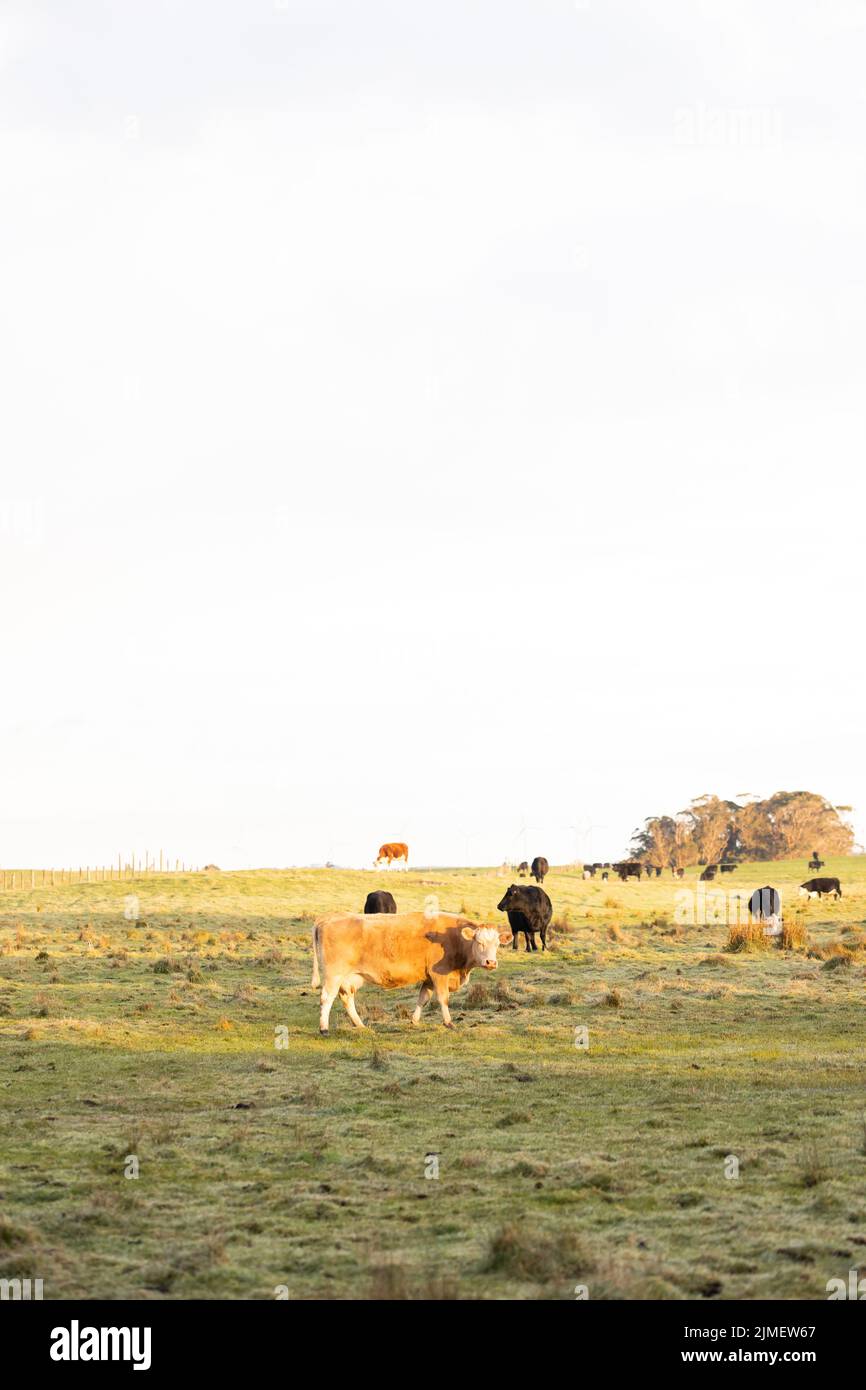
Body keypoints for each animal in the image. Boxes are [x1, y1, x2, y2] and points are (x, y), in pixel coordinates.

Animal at [311, 911, 511, 1034]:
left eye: (497, 944)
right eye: (479, 942)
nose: (491, 962)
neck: (455, 939)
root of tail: (328, 917)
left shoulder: (429, 978)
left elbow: (423, 998)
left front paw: (414, 1021)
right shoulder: (440, 975)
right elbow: (443, 999)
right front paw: (448, 1022)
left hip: (347, 978)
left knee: (346, 999)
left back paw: (360, 1025)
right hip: (334, 975)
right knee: (326, 998)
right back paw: (324, 1028)